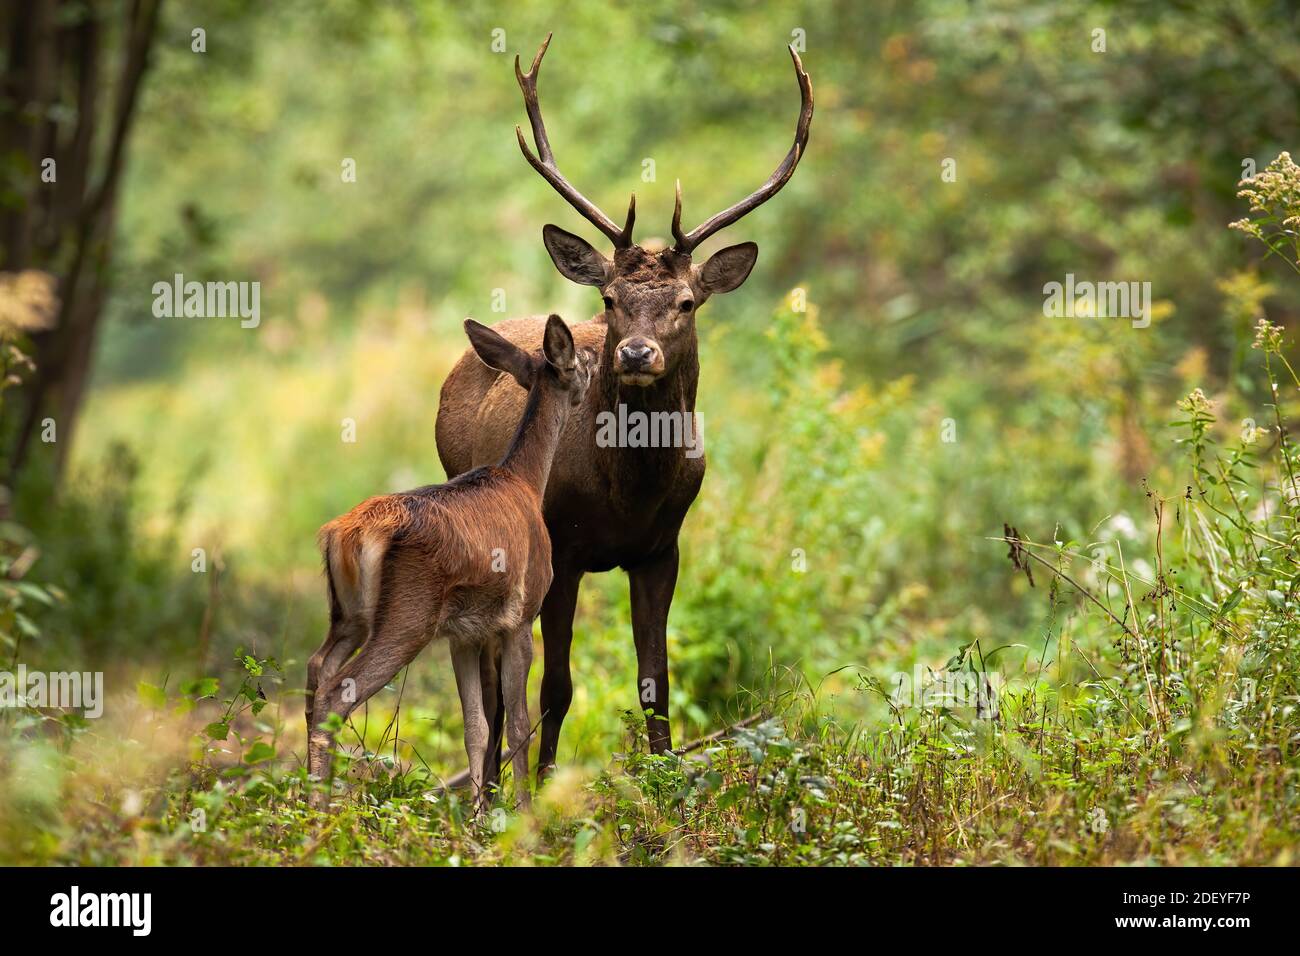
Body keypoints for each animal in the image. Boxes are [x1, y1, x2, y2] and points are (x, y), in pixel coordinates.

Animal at [306, 314, 593, 811]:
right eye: (578, 361)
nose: (595, 367)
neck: (525, 481)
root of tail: (345, 534)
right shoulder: (521, 615)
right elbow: (518, 723)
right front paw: (522, 811)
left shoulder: (464, 633)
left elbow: (475, 727)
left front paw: (479, 814)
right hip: (408, 616)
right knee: (335, 695)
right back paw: (319, 813)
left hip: (348, 614)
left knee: (315, 667)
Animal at [434, 35, 813, 789]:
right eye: (609, 298)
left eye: (687, 302)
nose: (637, 352)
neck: (628, 491)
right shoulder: (563, 548)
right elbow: (556, 687)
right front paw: (543, 784)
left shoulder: (663, 548)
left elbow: (656, 682)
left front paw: (667, 782)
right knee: (491, 674)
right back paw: (488, 781)